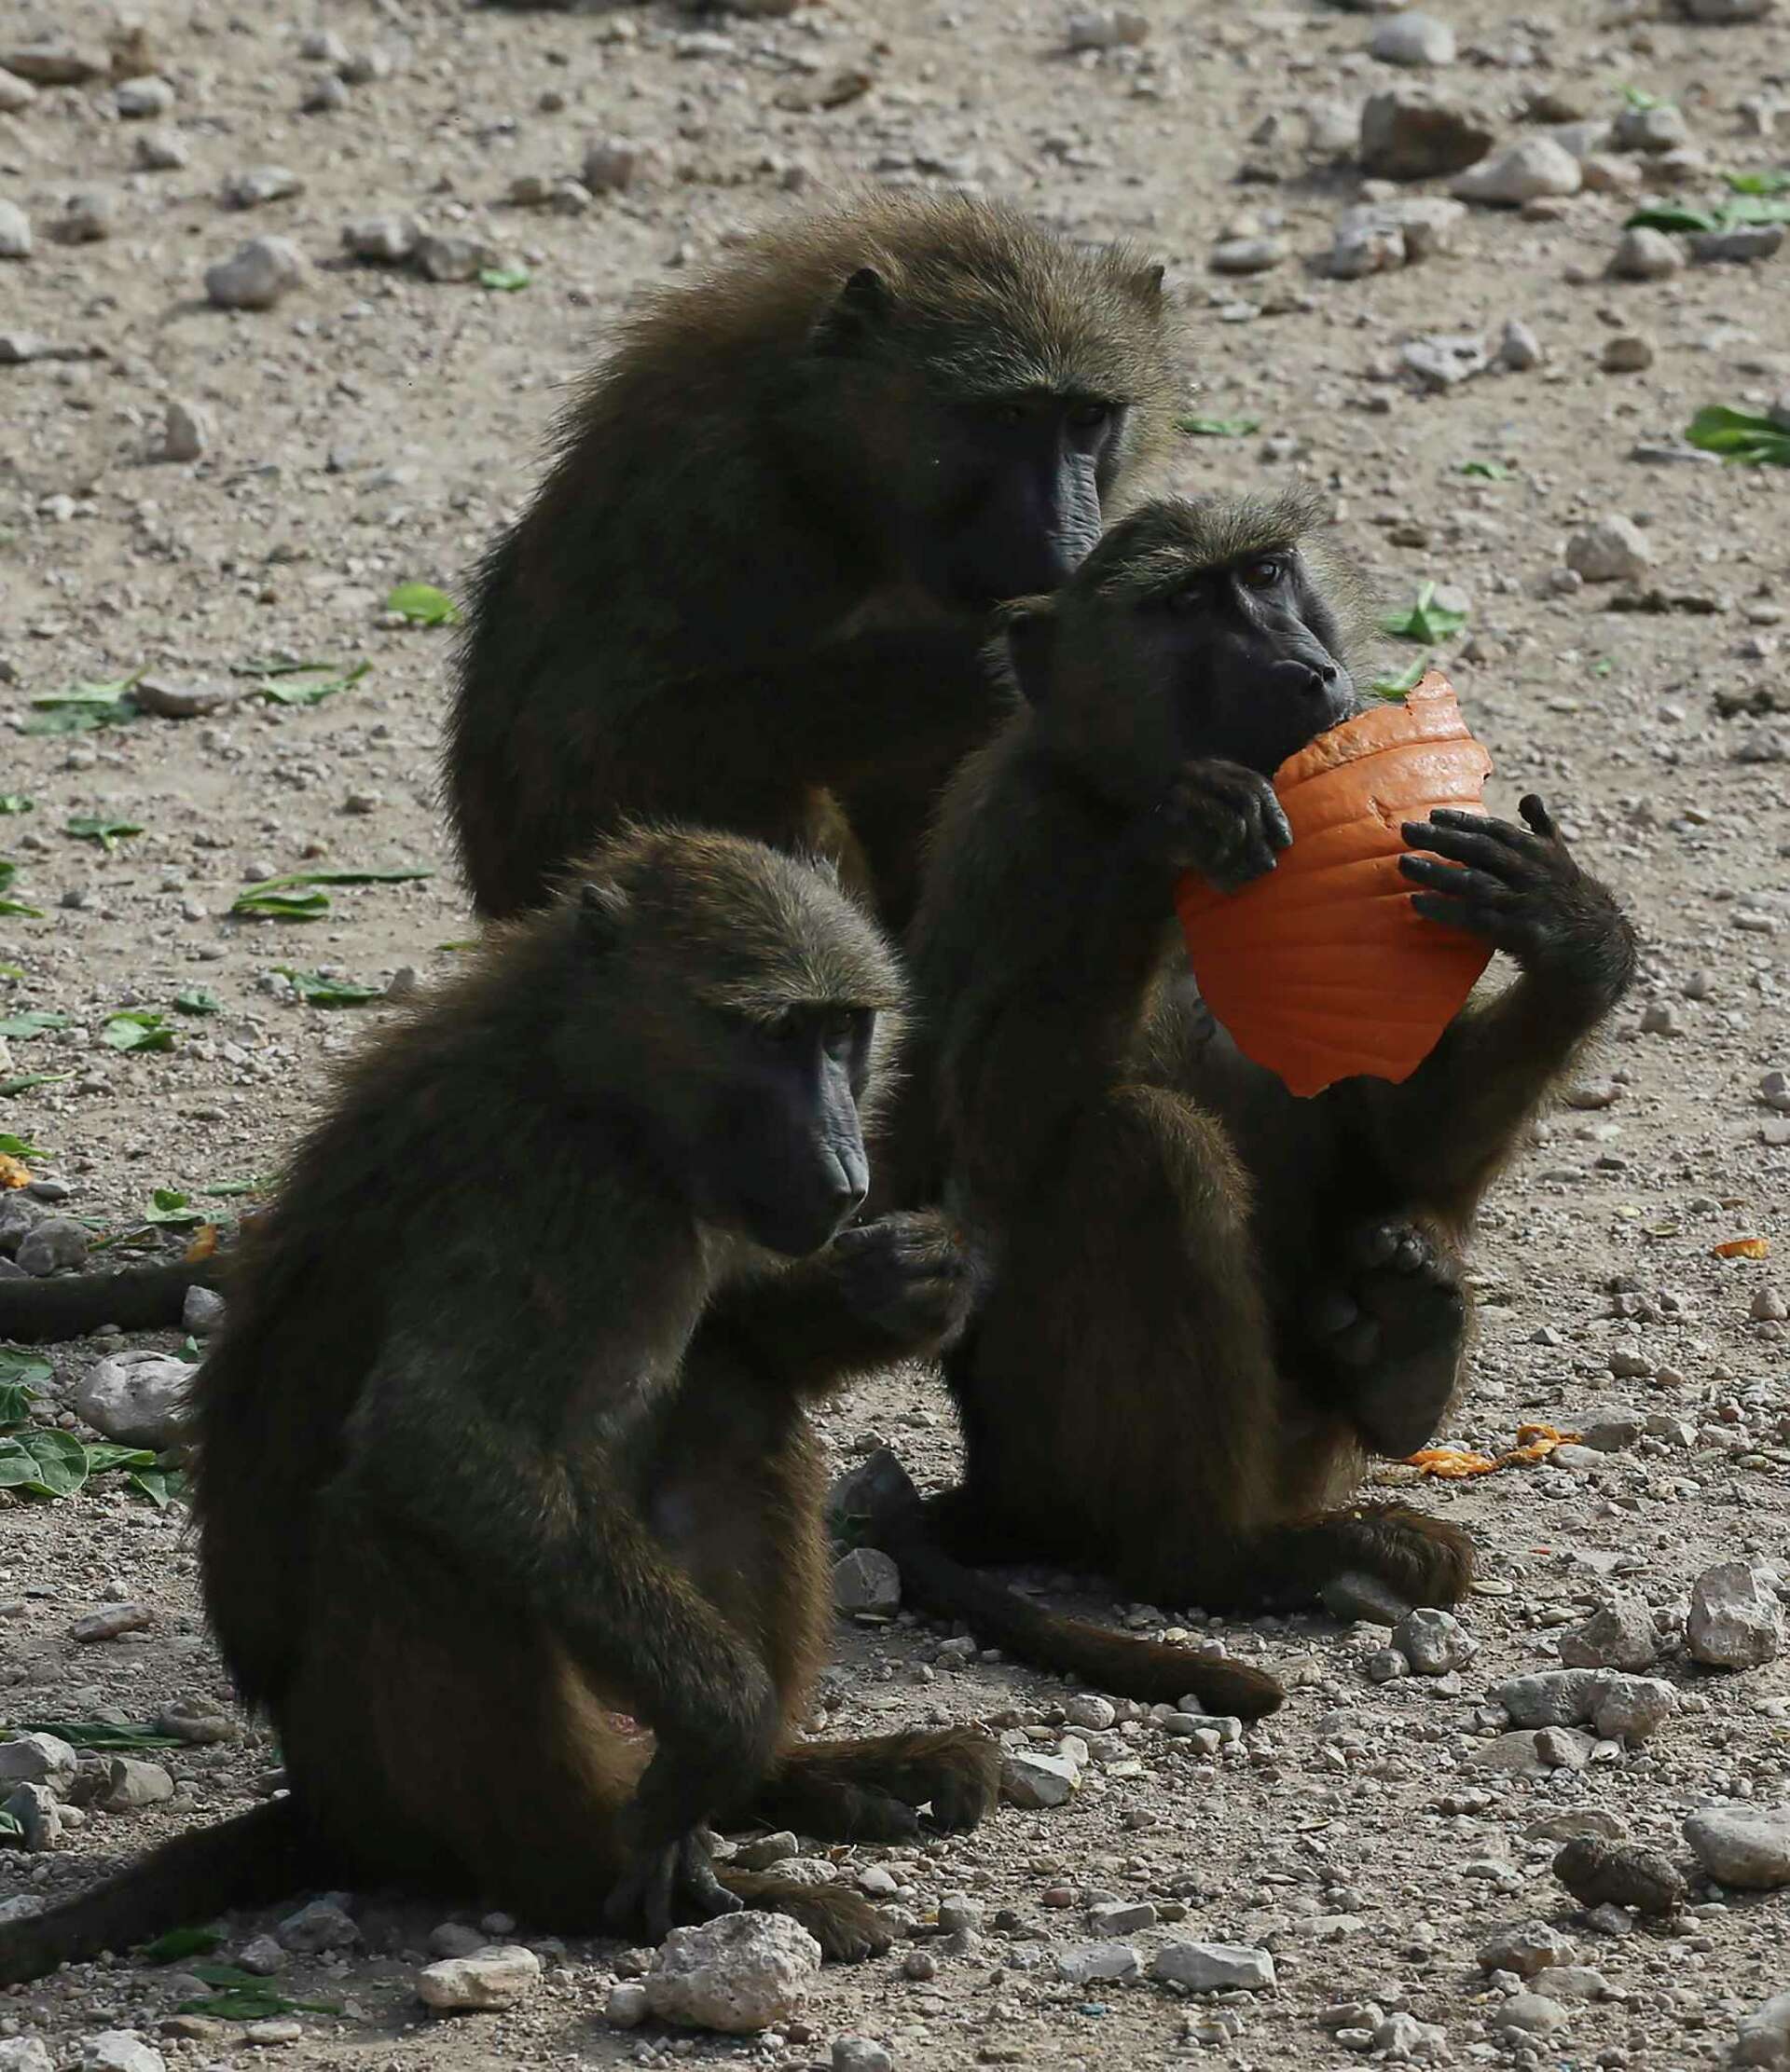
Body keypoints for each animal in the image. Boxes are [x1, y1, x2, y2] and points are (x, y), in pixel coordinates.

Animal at [0, 827, 1016, 1986]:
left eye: (844, 1031)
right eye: (774, 1034)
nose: (847, 1174)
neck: (597, 1080)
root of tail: (322, 1806)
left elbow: (735, 1332)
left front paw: (918, 1277)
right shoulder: (553, 1190)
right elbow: (436, 1437)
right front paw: (727, 1728)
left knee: (731, 1394)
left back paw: (805, 1780)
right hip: (392, 1774)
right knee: (405, 1527)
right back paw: (642, 1883)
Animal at [871, 490, 1638, 1627]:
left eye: (1268, 575)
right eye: (1189, 602)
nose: (1304, 673)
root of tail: (995, 1490)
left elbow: (1407, 1138)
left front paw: (1570, 932)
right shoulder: (1018, 837)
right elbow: (987, 1149)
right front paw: (1176, 833)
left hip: (1296, 1443)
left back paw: (1401, 1344)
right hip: (1058, 1455)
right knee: (1140, 1145)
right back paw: (1234, 1557)